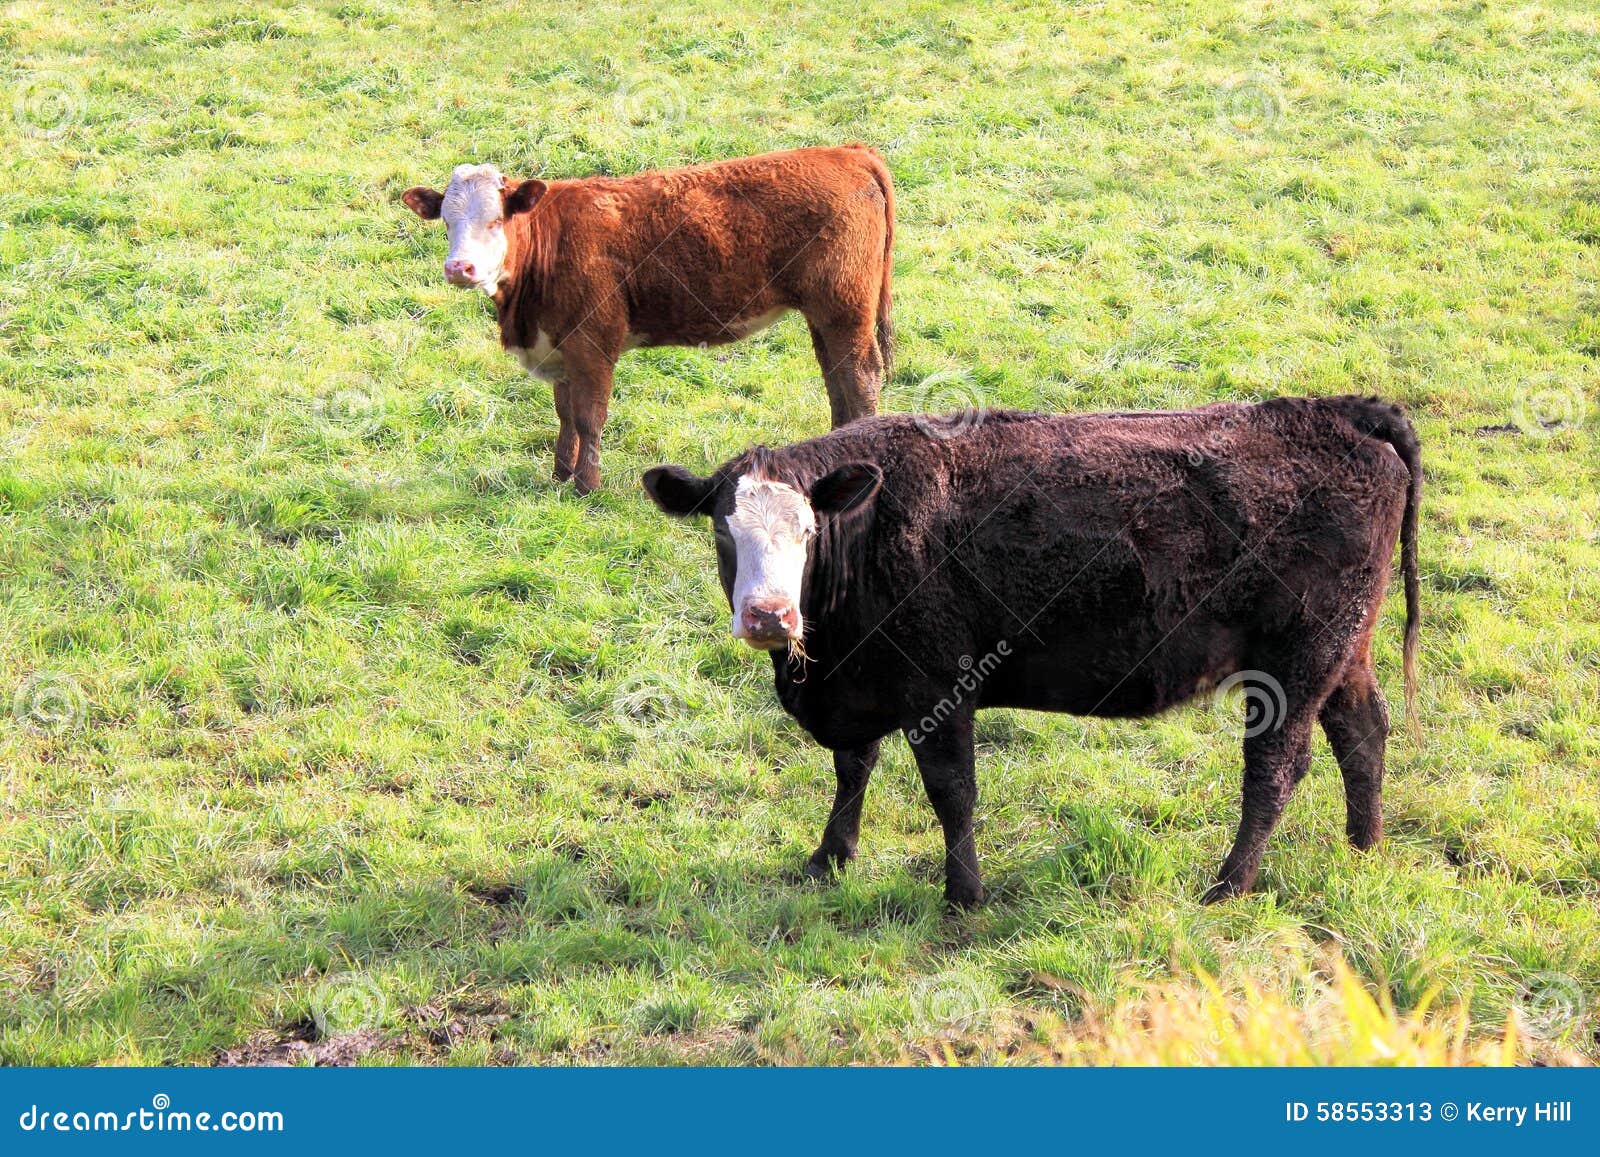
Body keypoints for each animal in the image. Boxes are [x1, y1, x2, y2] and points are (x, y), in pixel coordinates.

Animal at [401, 146, 895, 494]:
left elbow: (589, 416)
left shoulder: (593, 341)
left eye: (495, 220)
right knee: (837, 380)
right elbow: (564, 413)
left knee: (861, 379)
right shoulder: (560, 343)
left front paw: (586, 486)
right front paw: (560, 476)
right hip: (825, 316)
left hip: (846, 308)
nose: (459, 268)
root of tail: (847, 152)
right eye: (446, 221)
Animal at [643, 396, 1422, 908]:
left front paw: (964, 895)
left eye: (807, 530)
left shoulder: (937, 686)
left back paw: (1229, 885)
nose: (770, 615)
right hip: (1344, 648)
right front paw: (830, 857)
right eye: (722, 530)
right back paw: (1364, 846)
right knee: (1363, 729)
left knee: (1277, 766)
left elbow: (952, 791)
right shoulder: (866, 676)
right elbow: (853, 766)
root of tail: (1339, 409)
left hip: (1297, 658)